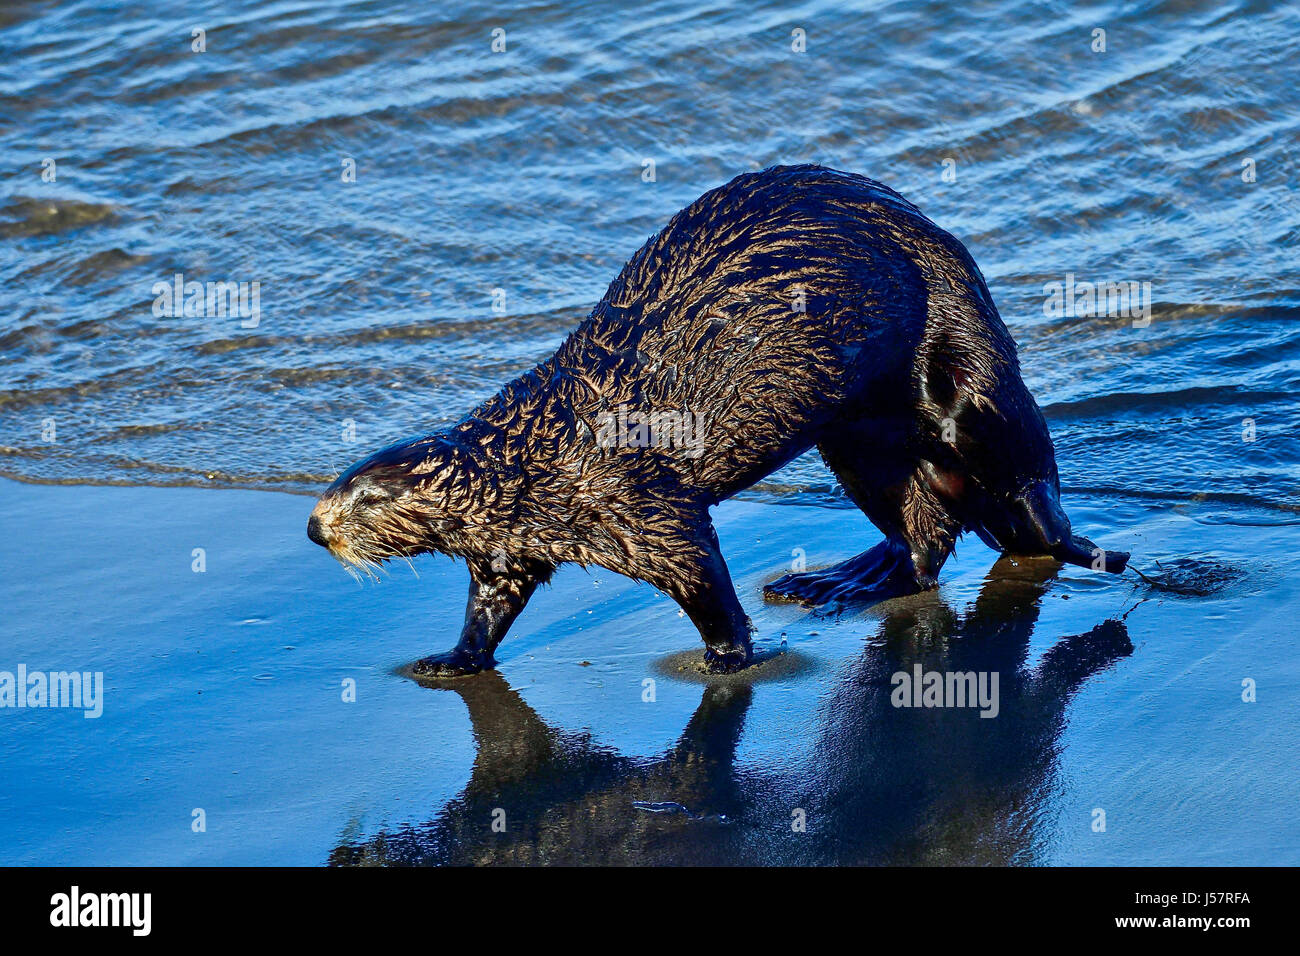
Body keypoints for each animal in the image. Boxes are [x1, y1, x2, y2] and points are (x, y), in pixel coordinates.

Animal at [308, 164, 1129, 677]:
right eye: (334, 486)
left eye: (363, 497)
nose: (315, 527)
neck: (554, 448)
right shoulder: (514, 543)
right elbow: (491, 604)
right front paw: (450, 659)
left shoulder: (643, 504)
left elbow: (702, 575)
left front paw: (730, 661)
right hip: (855, 443)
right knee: (921, 540)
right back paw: (837, 580)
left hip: (961, 363)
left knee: (1017, 477)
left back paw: (1078, 545)